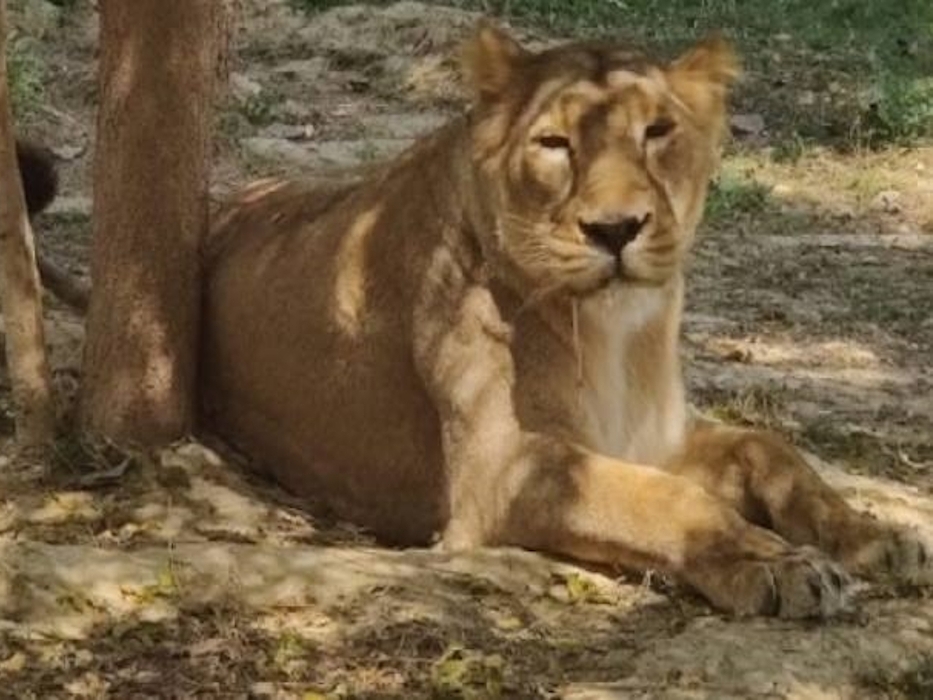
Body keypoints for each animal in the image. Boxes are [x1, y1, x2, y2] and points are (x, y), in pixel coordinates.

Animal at [201, 23, 928, 617]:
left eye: (656, 133)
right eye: (554, 144)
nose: (615, 229)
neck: (620, 336)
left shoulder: (654, 435)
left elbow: (769, 447)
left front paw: (874, 536)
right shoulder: (501, 468)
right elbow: (665, 499)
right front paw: (776, 564)